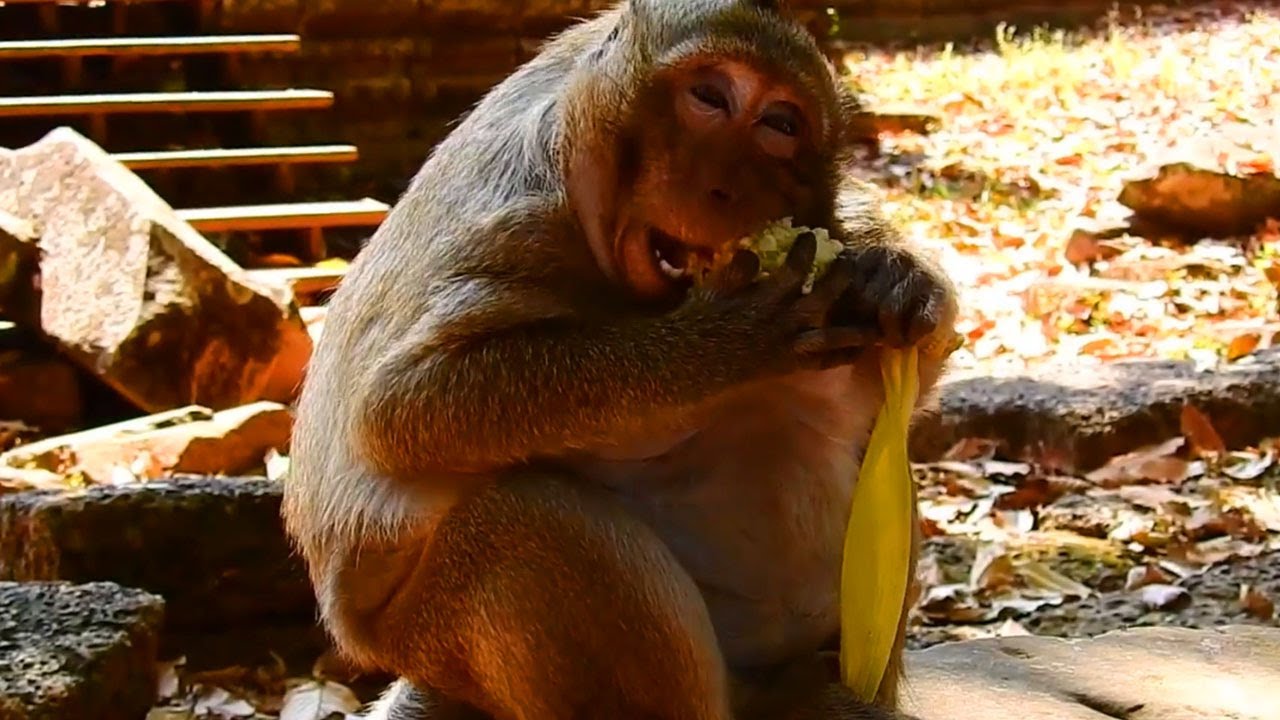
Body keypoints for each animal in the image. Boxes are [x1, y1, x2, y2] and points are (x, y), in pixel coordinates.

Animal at [281, 1, 957, 718]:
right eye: (709, 97)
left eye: (780, 124)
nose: (724, 187)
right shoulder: (521, 219)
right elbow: (403, 408)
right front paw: (727, 341)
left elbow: (885, 390)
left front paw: (897, 279)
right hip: (431, 634)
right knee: (527, 518)